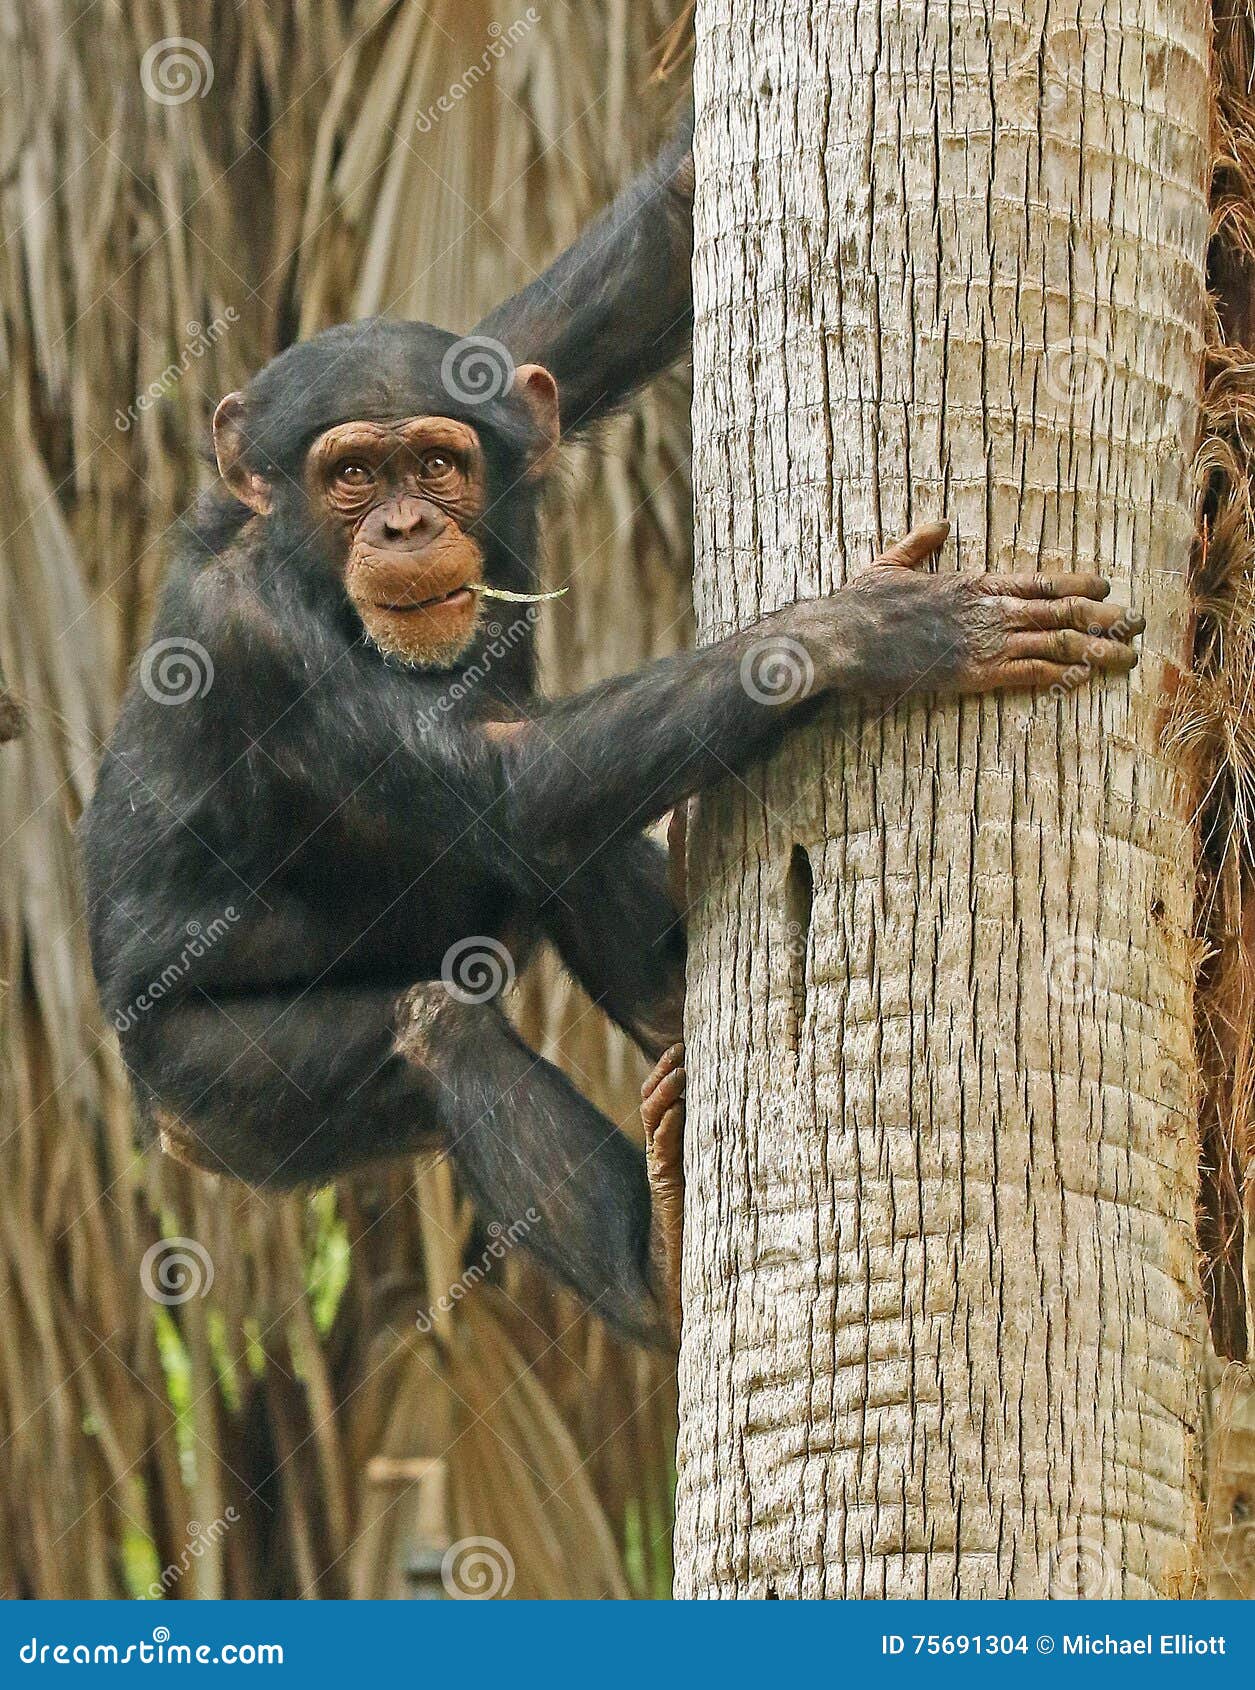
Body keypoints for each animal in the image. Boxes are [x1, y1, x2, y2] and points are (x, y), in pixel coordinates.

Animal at [81, 118, 1142, 1346]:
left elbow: (632, 276)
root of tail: (162, 1130)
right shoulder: (258, 646)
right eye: (348, 473)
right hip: (217, 1091)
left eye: (435, 461)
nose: (404, 524)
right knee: (434, 1019)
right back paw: (656, 1271)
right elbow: (512, 782)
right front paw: (878, 631)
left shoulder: (506, 384)